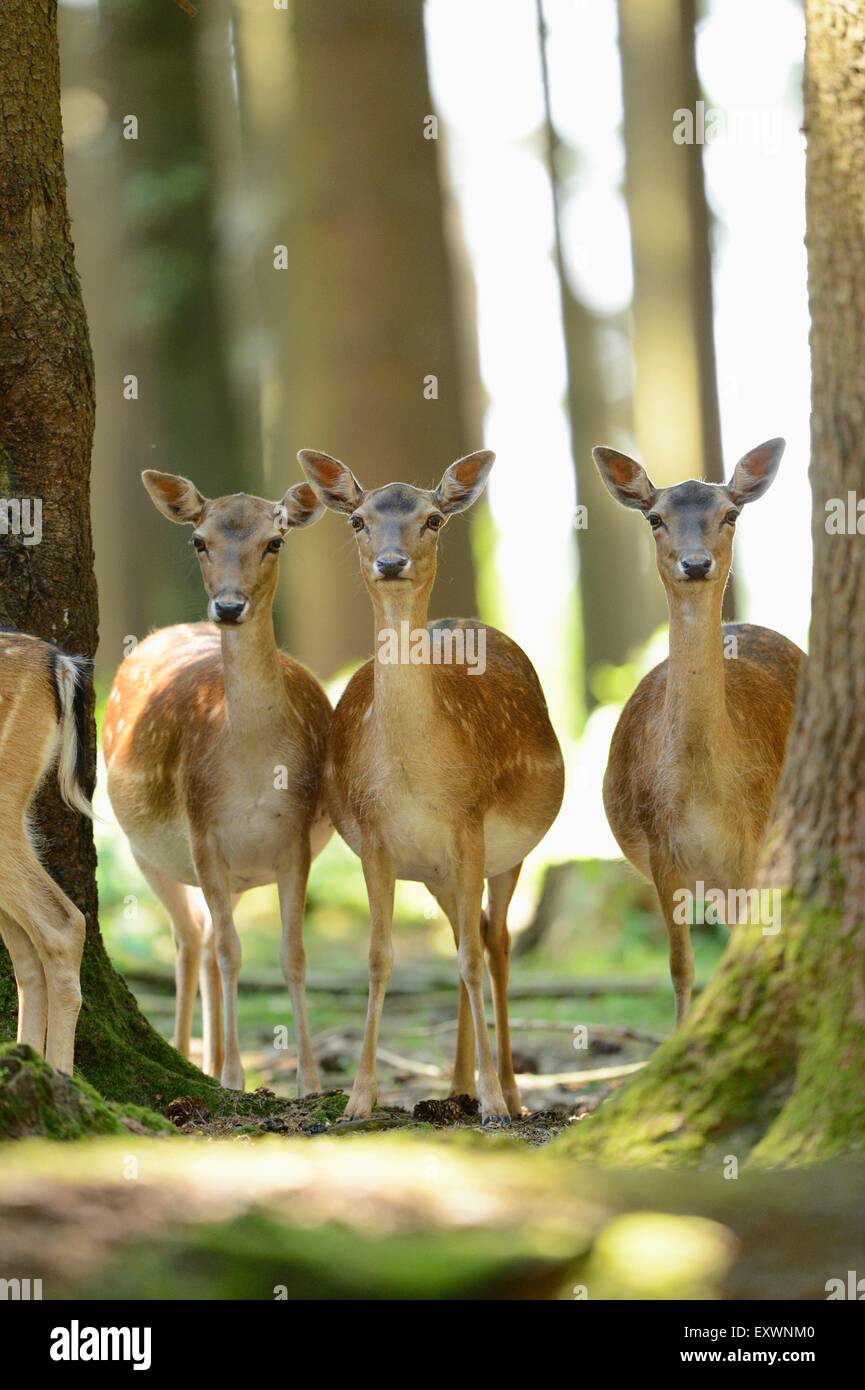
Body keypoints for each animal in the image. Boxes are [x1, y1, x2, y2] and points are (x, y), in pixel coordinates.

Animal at [103, 473, 332, 1094]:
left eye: (275, 540)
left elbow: (293, 953)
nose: (228, 607)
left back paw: (205, 1062)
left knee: (203, 936)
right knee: (189, 939)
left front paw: (310, 1081)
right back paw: (190, 1057)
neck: (252, 764)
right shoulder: (202, 830)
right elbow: (232, 952)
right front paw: (233, 1076)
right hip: (145, 851)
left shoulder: (293, 837)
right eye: (198, 541)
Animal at [299, 448, 565, 1123]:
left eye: (434, 518)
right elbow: (379, 957)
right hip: (439, 872)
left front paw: (496, 1101)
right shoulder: (373, 836)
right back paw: (457, 1086)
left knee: (494, 943)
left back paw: (510, 1093)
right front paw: (358, 1099)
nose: (392, 562)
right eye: (359, 520)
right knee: (461, 935)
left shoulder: (470, 821)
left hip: (511, 852)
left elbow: (473, 956)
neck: (415, 779)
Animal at [593, 438, 805, 1025]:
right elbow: (681, 966)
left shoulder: (754, 842)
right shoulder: (662, 852)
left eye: (730, 513)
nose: (695, 563)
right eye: (655, 517)